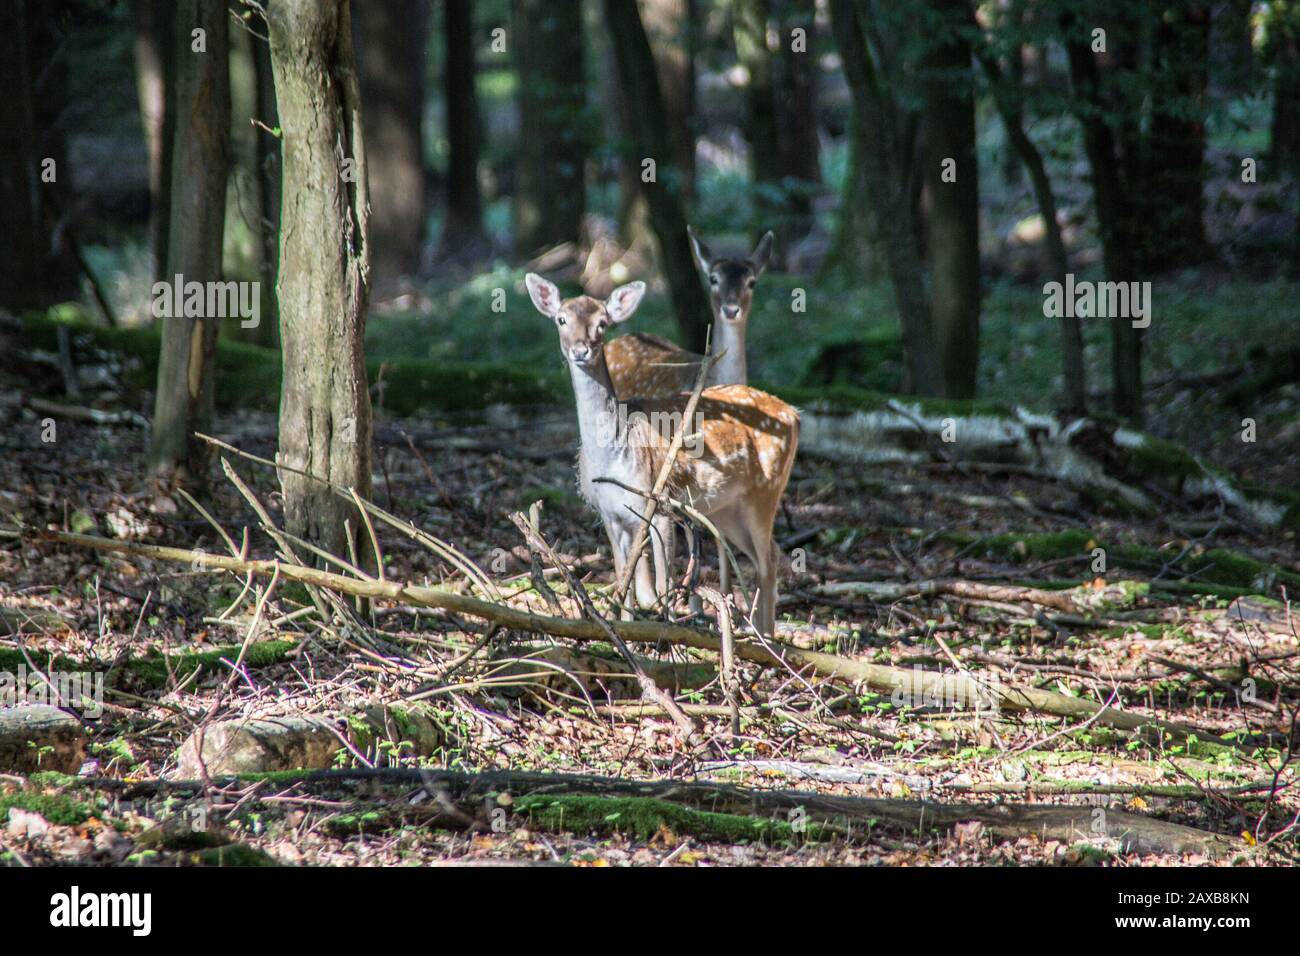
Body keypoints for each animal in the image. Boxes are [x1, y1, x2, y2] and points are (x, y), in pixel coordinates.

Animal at [525, 272, 799, 637]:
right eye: (561, 319)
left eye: (602, 323)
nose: (581, 350)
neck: (613, 453)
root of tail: (794, 414)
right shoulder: (610, 515)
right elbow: (623, 580)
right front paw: (624, 633)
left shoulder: (660, 505)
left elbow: (663, 582)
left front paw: (667, 634)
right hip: (726, 508)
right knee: (763, 556)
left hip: (765, 491)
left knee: (769, 561)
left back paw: (766, 638)